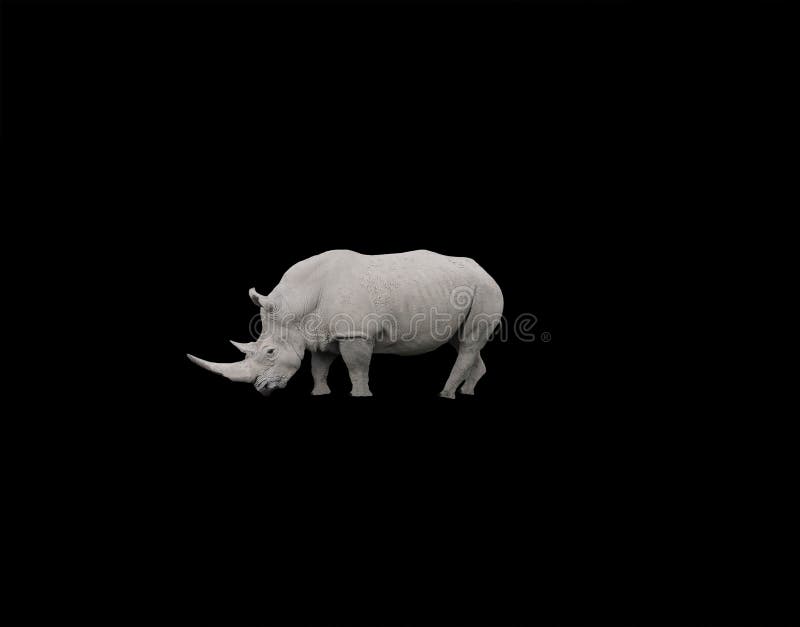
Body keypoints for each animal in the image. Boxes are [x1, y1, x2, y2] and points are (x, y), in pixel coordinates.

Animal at [187, 249, 503, 398]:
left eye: (270, 352)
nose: (261, 388)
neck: (296, 303)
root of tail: (485, 271)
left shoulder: (355, 333)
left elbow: (357, 368)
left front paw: (361, 395)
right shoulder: (321, 332)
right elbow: (319, 366)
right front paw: (320, 394)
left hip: (486, 290)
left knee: (469, 342)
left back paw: (446, 395)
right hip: (464, 290)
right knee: (462, 342)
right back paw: (466, 392)